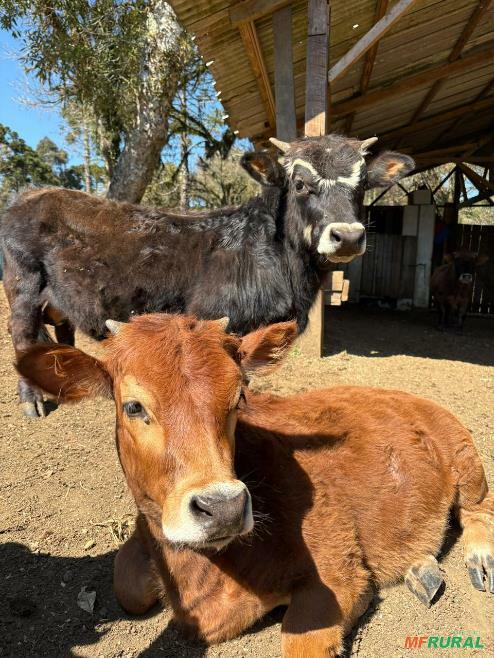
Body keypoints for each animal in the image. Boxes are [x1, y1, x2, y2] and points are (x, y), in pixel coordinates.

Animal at [1, 134, 414, 417]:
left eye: (362, 185)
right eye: (299, 184)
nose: (348, 235)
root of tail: (30, 193)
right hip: (23, 285)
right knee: (21, 334)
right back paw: (33, 401)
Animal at [17, 313, 494, 658]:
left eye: (238, 399)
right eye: (133, 406)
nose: (223, 507)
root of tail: (404, 394)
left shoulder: (339, 574)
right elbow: (128, 584)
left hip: (464, 454)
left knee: (478, 509)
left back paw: (477, 558)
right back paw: (422, 568)